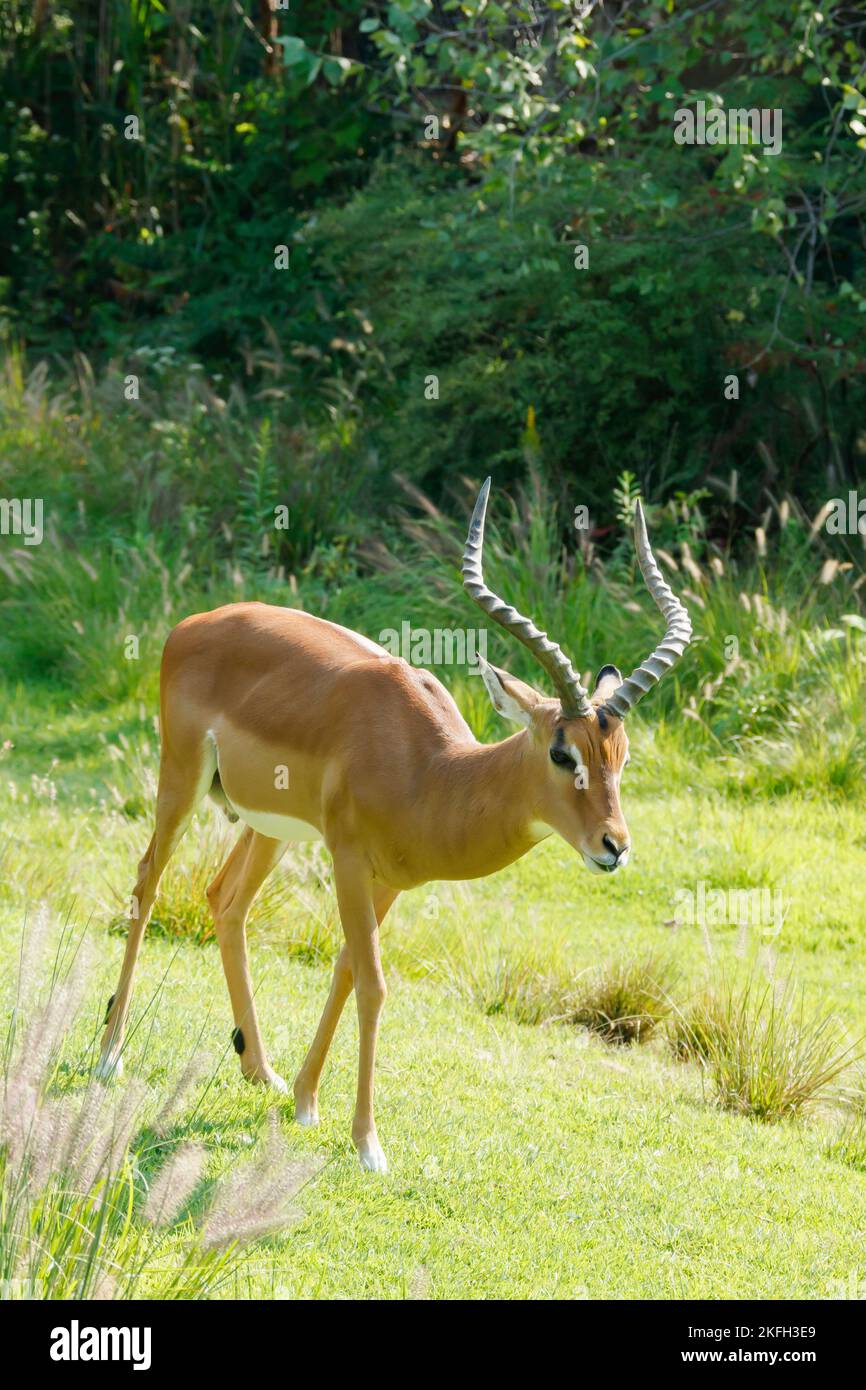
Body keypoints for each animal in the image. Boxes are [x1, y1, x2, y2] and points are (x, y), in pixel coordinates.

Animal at [97, 481, 691, 1171]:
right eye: (561, 752)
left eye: (622, 756)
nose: (614, 846)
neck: (432, 771)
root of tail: (191, 624)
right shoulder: (349, 862)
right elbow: (375, 985)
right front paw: (368, 1145)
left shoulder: (391, 881)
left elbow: (347, 969)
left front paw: (304, 1100)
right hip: (182, 779)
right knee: (147, 882)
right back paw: (110, 1056)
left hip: (270, 828)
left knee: (225, 900)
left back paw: (260, 1071)